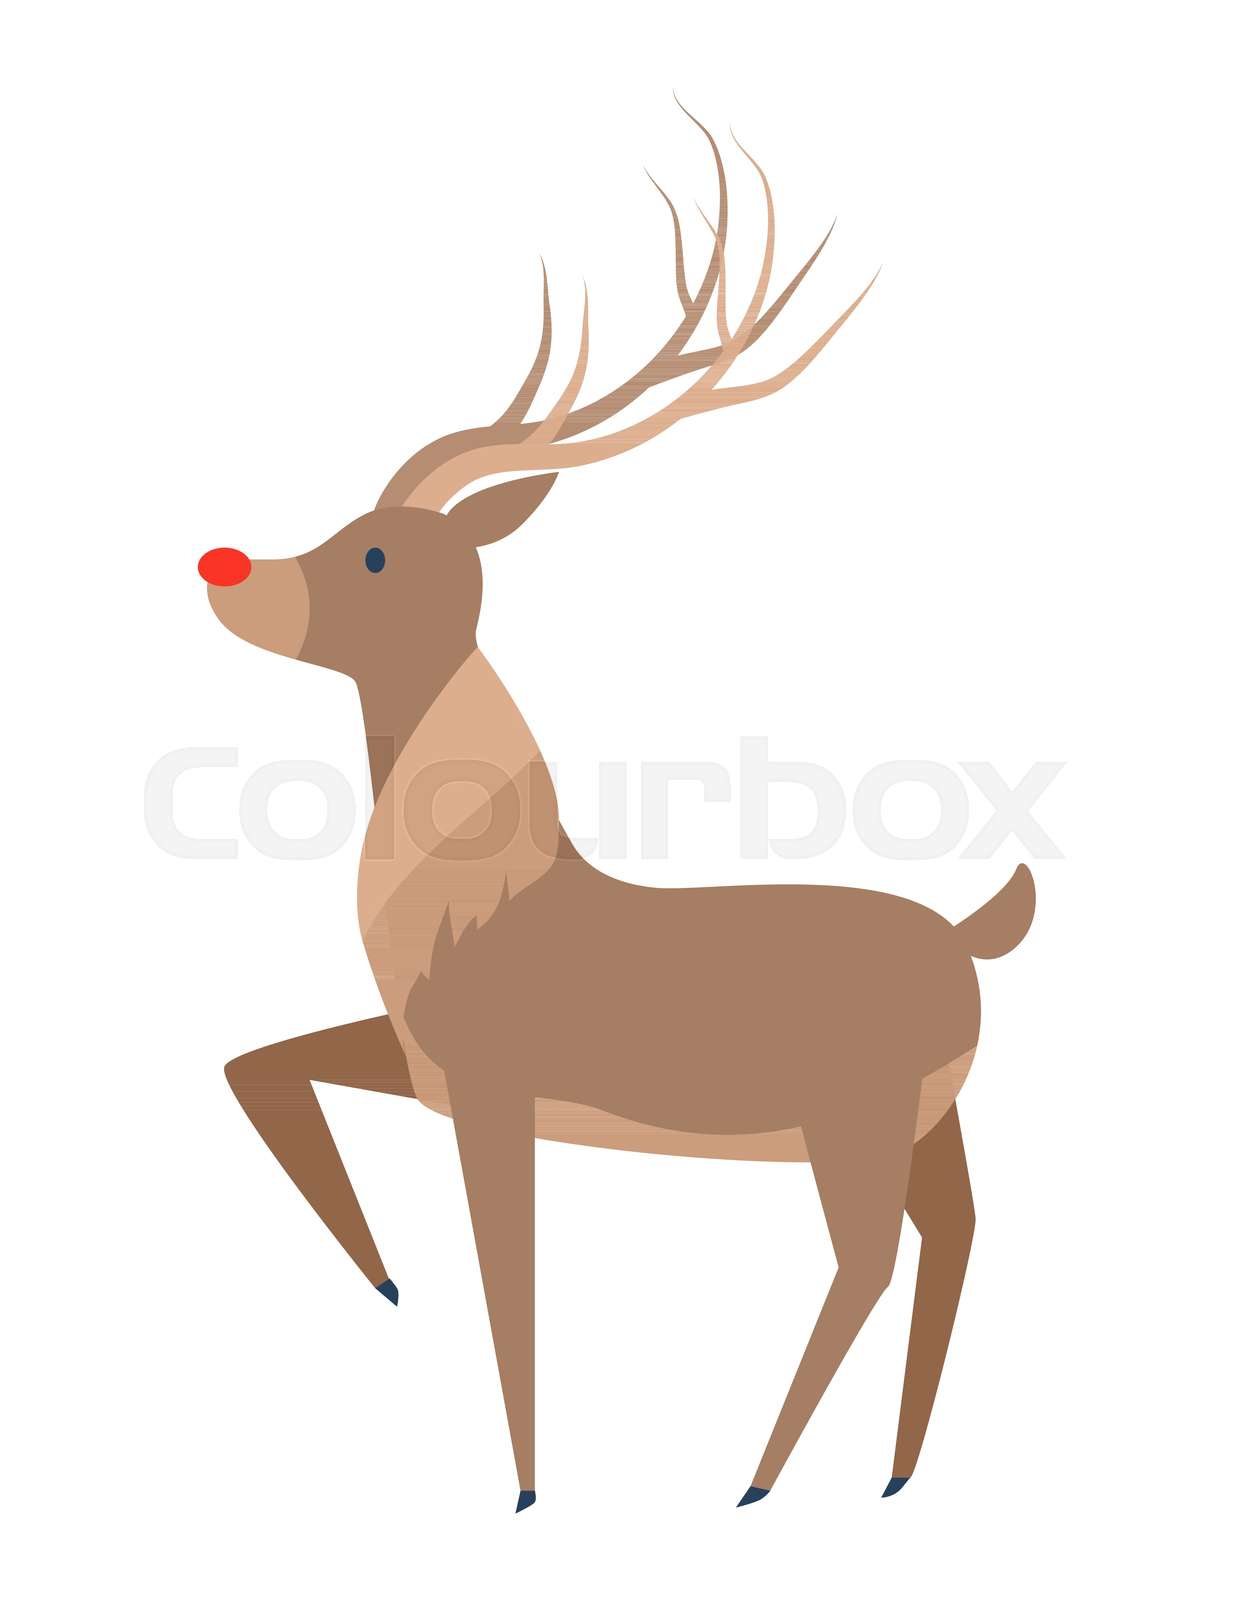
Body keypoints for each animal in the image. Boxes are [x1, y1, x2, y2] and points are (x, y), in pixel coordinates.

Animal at [200, 105, 1035, 1514]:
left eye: (374, 552)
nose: (222, 567)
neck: (464, 898)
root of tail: (974, 934)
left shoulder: (493, 1088)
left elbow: (510, 1279)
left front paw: (530, 1489)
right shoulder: (414, 1064)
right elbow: (255, 1064)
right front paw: (387, 1278)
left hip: (853, 1122)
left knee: (867, 1258)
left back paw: (754, 1481)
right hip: (935, 1123)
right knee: (960, 1235)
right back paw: (892, 1476)